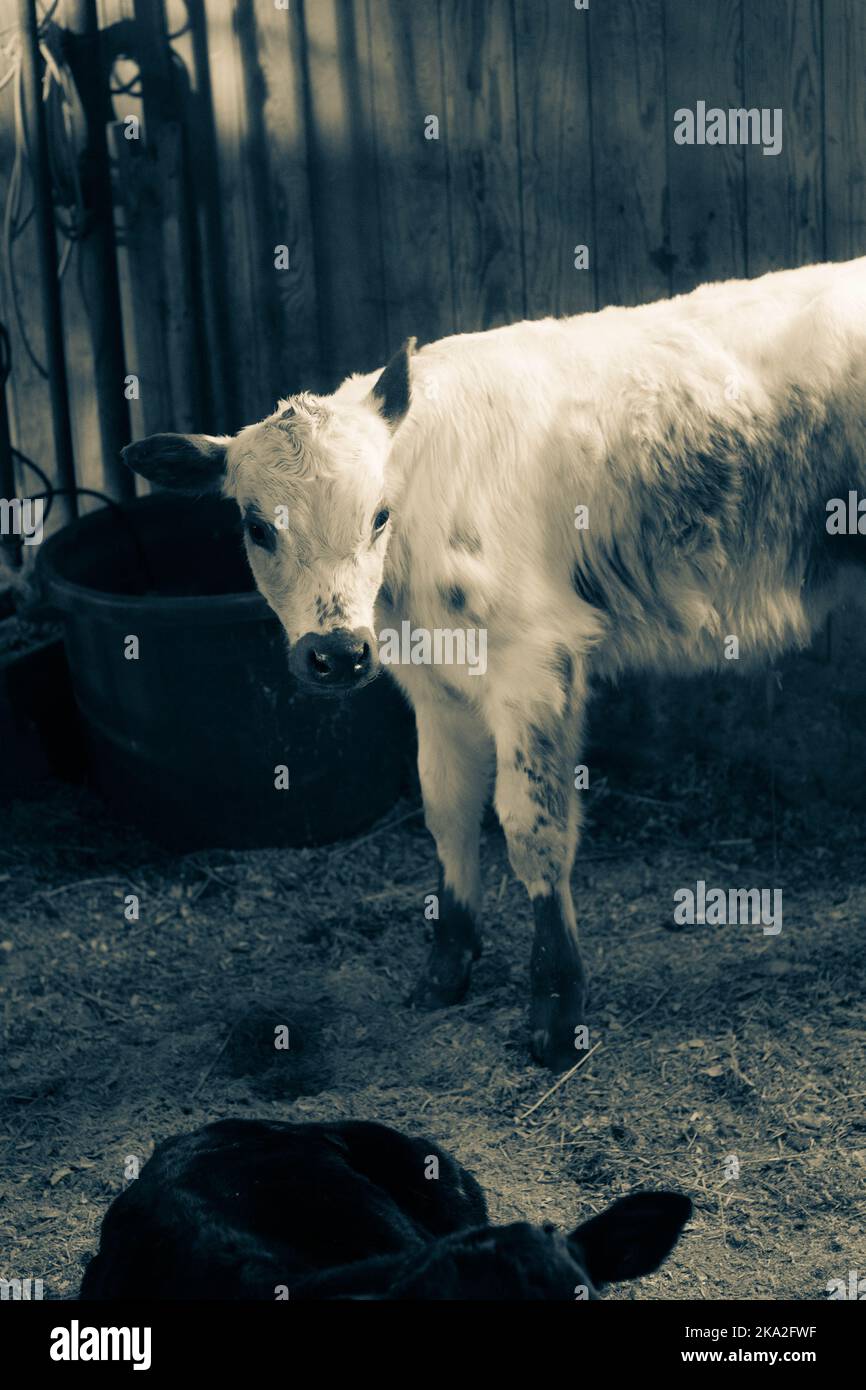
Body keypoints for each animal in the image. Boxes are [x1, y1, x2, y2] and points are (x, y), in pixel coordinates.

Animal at [124, 257, 866, 1070]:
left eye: (378, 513)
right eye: (258, 527)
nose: (337, 653)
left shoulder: (534, 663)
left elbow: (531, 825)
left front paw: (556, 1009)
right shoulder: (431, 682)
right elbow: (447, 808)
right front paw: (446, 967)